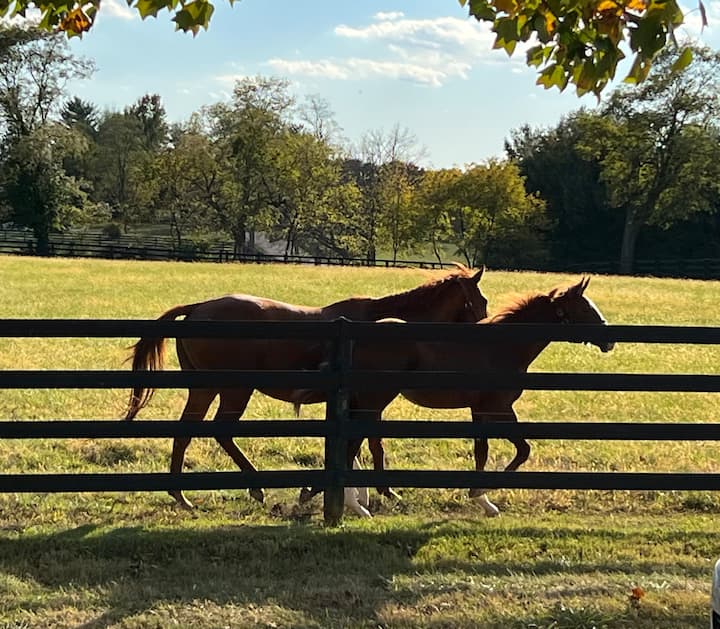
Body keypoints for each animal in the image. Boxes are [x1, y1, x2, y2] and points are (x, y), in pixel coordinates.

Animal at [123, 264, 487, 510]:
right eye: (478, 302)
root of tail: (198, 308)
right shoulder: (368, 400)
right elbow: (370, 444)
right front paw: (380, 491)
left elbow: (365, 445)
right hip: (235, 390)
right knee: (221, 430)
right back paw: (253, 487)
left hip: (204, 390)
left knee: (186, 430)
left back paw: (180, 494)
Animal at [297, 277, 614, 516]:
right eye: (584, 309)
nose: (609, 341)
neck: (502, 348)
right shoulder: (500, 408)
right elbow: (523, 450)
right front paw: (482, 491)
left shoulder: (480, 410)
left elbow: (482, 450)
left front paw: (482, 498)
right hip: (375, 400)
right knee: (352, 445)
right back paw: (331, 496)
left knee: (354, 445)